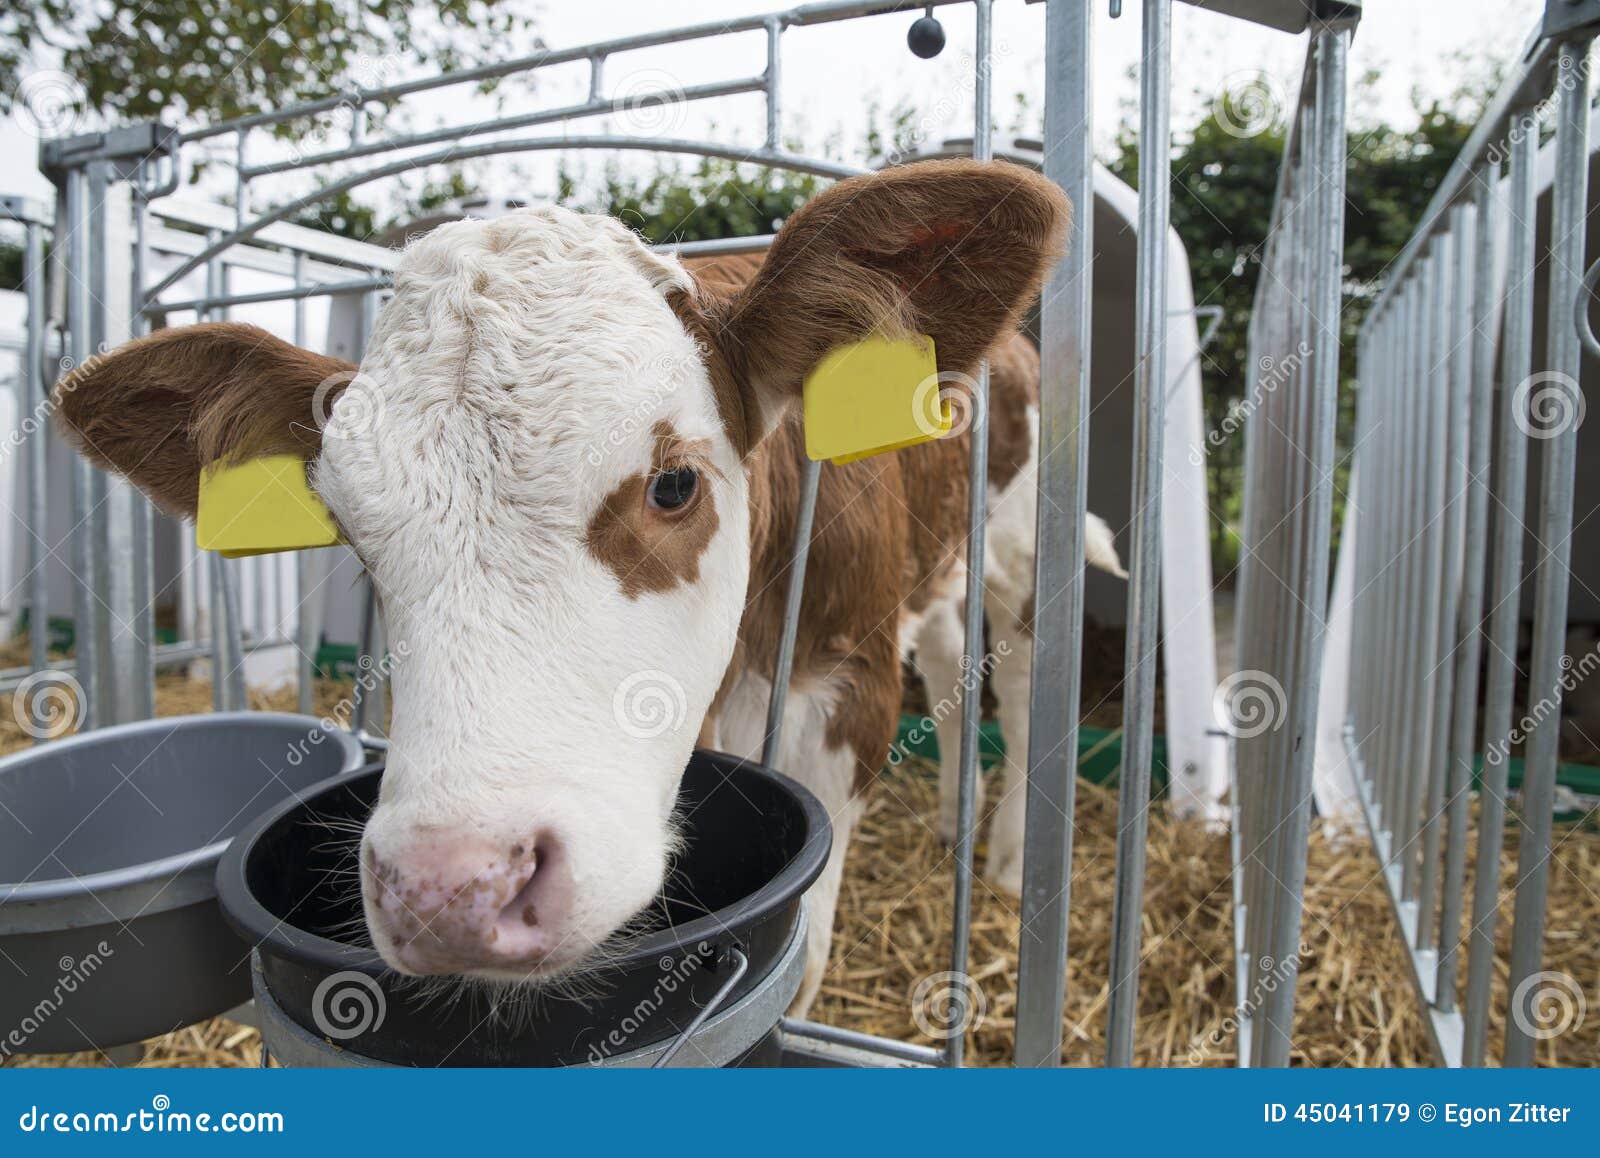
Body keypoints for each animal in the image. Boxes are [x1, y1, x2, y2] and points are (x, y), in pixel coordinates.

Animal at [54, 159, 1122, 1014]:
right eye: (351, 530)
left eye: (674, 484)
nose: (454, 888)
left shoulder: (848, 679)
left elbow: (803, 967)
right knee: (947, 661)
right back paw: (952, 817)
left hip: (1020, 546)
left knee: (1020, 680)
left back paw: (1010, 857)